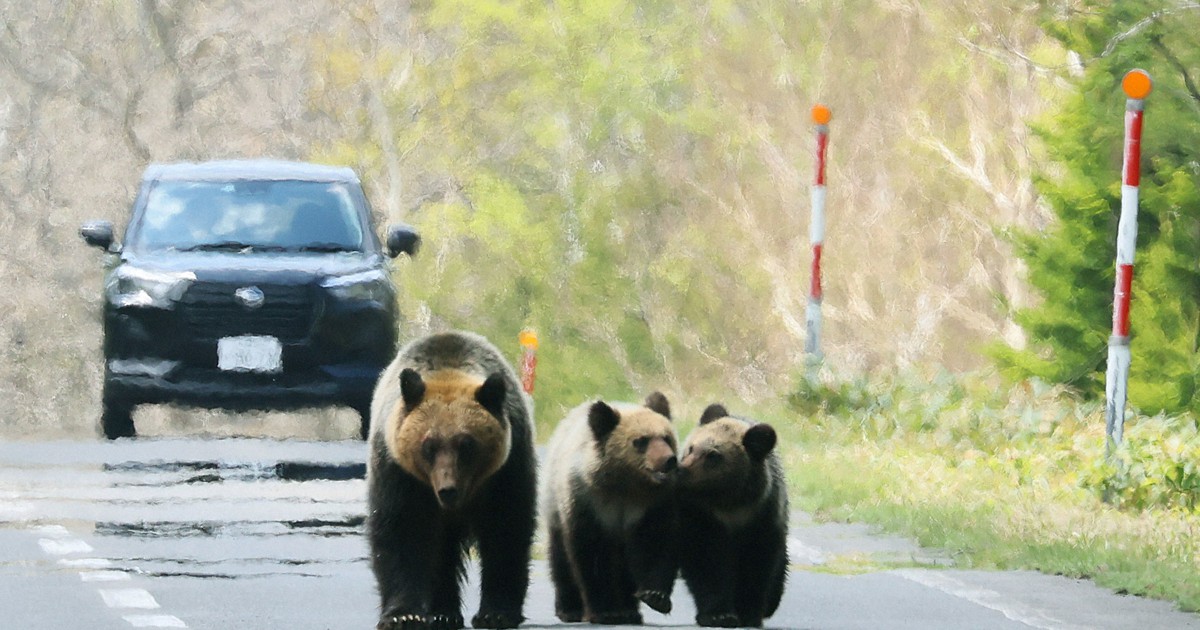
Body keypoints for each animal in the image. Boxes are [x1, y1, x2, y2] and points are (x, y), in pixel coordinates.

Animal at [366, 331, 537, 630]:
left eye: (467, 444)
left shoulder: (506, 470)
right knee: (439, 551)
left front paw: (496, 612)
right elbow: (400, 530)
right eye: (429, 445)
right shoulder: (399, 473)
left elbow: (506, 530)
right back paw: (442, 613)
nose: (448, 490)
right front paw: (402, 614)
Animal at [541, 392, 680, 625]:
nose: (669, 460)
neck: (625, 484)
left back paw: (629, 610)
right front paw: (605, 611)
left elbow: (655, 543)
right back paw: (570, 609)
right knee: (560, 558)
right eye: (640, 441)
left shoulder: (652, 504)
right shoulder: (587, 499)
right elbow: (591, 552)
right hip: (554, 504)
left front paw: (655, 596)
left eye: (667, 437)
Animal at [677, 403, 789, 628]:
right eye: (691, 447)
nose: (681, 471)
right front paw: (718, 614)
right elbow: (706, 563)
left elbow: (757, 567)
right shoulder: (701, 517)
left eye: (713, 455)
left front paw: (749, 613)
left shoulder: (763, 519)